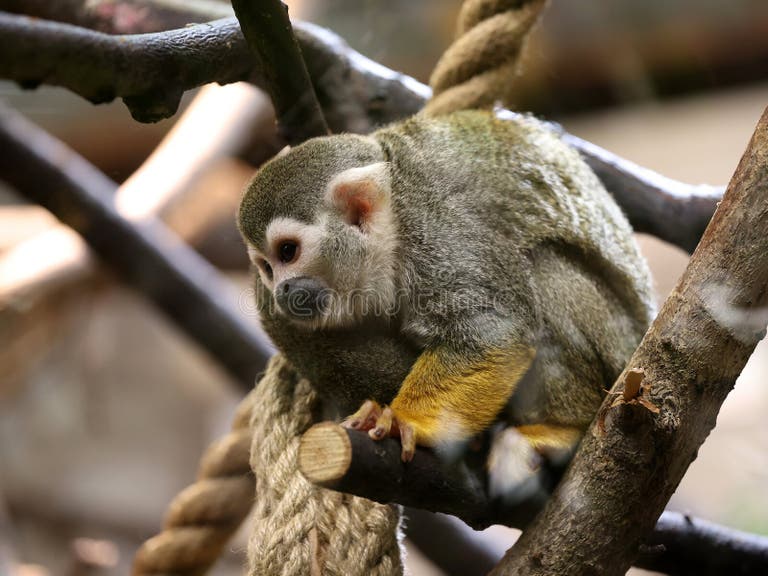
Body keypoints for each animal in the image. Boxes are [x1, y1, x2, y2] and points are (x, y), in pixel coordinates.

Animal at [238, 108, 654, 482]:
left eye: (288, 252)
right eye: (266, 267)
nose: (281, 289)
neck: (392, 230)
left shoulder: (438, 234)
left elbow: (496, 332)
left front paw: (404, 422)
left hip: (615, 345)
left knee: (544, 268)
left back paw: (562, 430)